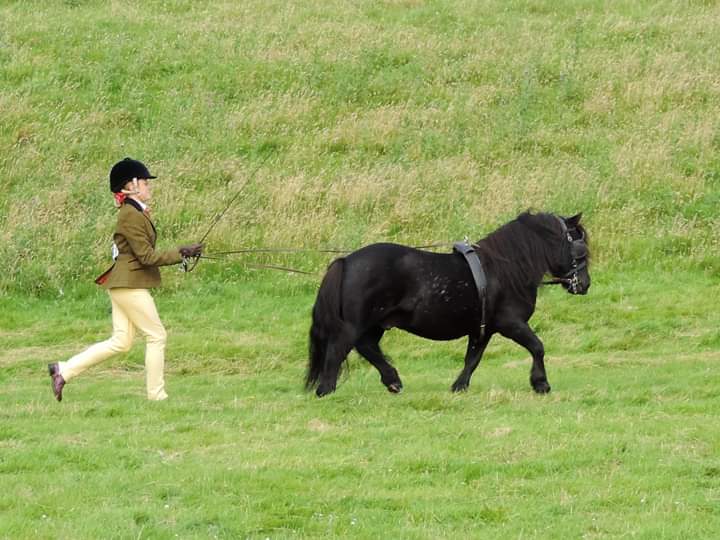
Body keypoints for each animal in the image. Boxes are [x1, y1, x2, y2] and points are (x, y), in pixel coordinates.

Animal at [306, 211, 590, 397]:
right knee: (339, 350)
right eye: (580, 250)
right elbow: (537, 347)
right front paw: (541, 384)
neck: (505, 269)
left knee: (367, 347)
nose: (584, 285)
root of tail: (347, 261)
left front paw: (459, 386)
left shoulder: (483, 330)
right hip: (354, 325)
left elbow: (473, 359)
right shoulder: (511, 324)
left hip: (375, 324)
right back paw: (326, 390)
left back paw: (392, 381)